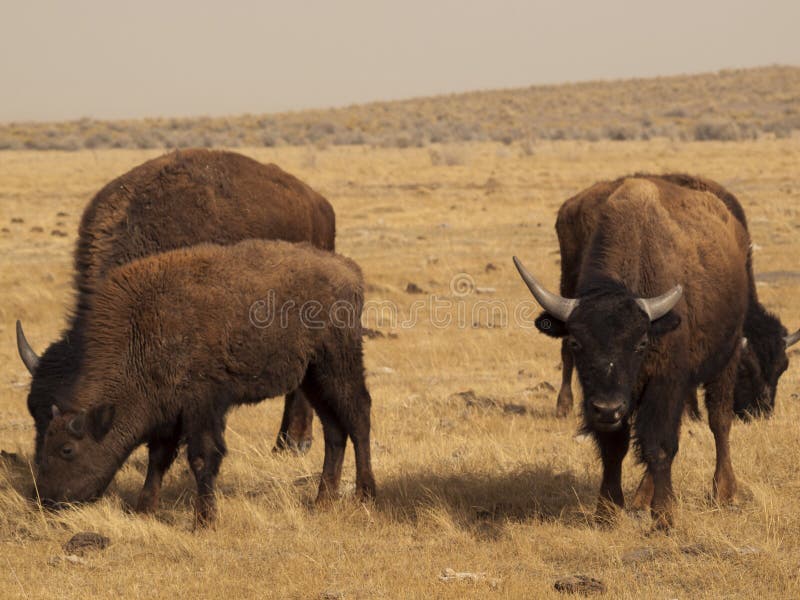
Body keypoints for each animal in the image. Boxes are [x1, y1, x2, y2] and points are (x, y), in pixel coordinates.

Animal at [35, 239, 375, 525]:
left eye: (67, 449)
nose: (48, 500)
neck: (140, 335)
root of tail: (349, 270)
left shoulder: (202, 406)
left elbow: (202, 457)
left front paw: (204, 520)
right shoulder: (169, 412)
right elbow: (158, 459)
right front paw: (144, 510)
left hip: (339, 366)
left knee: (358, 418)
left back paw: (364, 494)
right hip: (312, 377)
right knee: (334, 430)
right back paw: (323, 501)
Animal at [514, 177, 750, 528]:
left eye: (641, 342)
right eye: (576, 342)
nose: (609, 409)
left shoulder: (666, 384)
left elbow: (660, 445)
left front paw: (664, 517)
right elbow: (614, 447)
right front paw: (607, 511)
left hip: (727, 357)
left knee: (720, 422)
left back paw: (723, 491)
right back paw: (641, 498)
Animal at [553, 173, 798, 420]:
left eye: (782, 367)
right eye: (746, 367)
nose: (759, 412)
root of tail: (571, 205)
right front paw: (691, 412)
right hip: (570, 286)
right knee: (566, 347)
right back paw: (563, 406)